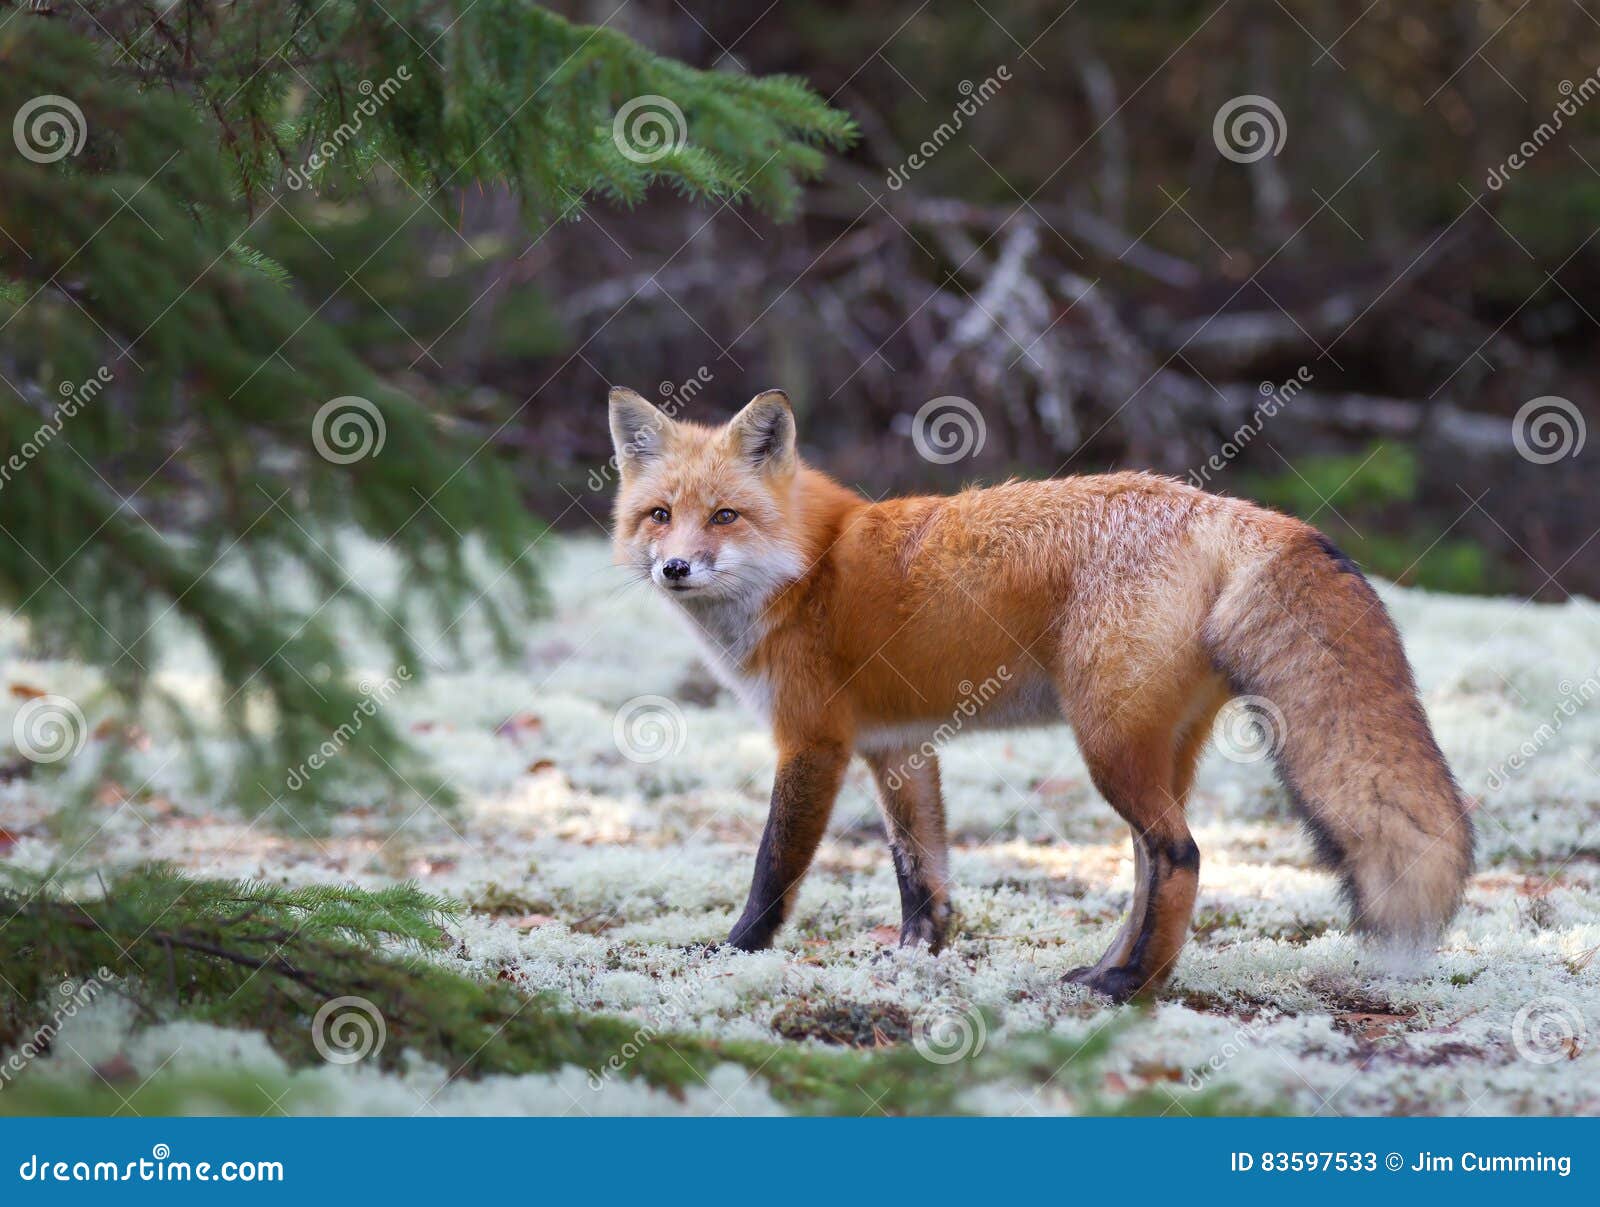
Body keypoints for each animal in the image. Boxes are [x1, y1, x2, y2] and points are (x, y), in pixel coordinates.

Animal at [607, 386, 1474, 1001]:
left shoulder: (813, 741)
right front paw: (917, 957)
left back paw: (1126, 985)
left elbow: (773, 867)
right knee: (1150, 865)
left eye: (725, 515)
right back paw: (1119, 971)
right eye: (659, 515)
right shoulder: (897, 746)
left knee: (1181, 854)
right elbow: (921, 871)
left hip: (1106, 743)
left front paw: (733, 949)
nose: (675, 567)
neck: (808, 567)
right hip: (1153, 748)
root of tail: (1223, 506)